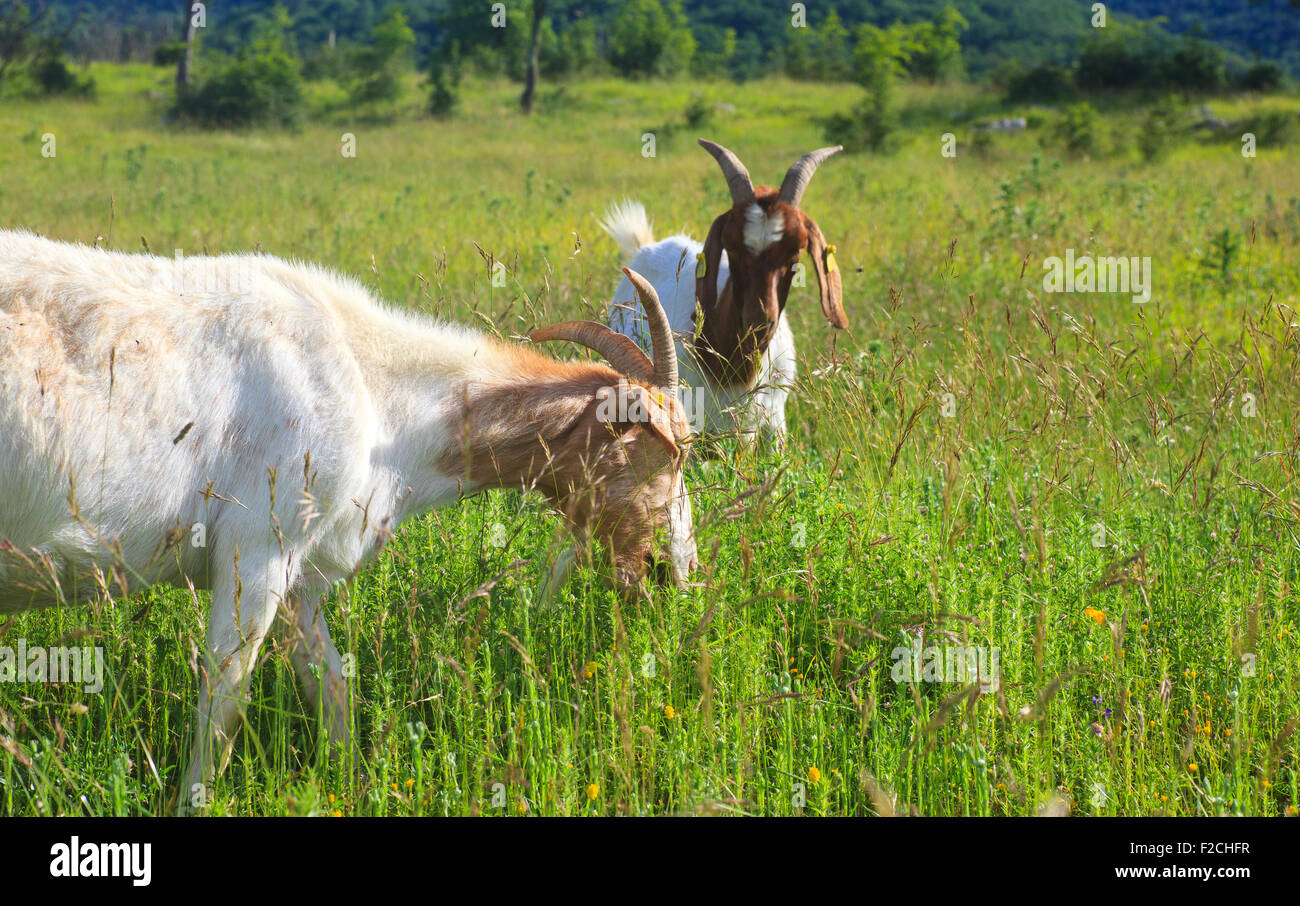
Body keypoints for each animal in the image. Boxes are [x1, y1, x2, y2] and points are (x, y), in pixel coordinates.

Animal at [0, 230, 695, 811]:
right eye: (670, 453)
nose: (675, 570)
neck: (373, 386)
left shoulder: (300, 576)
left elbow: (331, 687)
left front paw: (352, 783)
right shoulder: (257, 548)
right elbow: (226, 696)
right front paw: (192, 801)